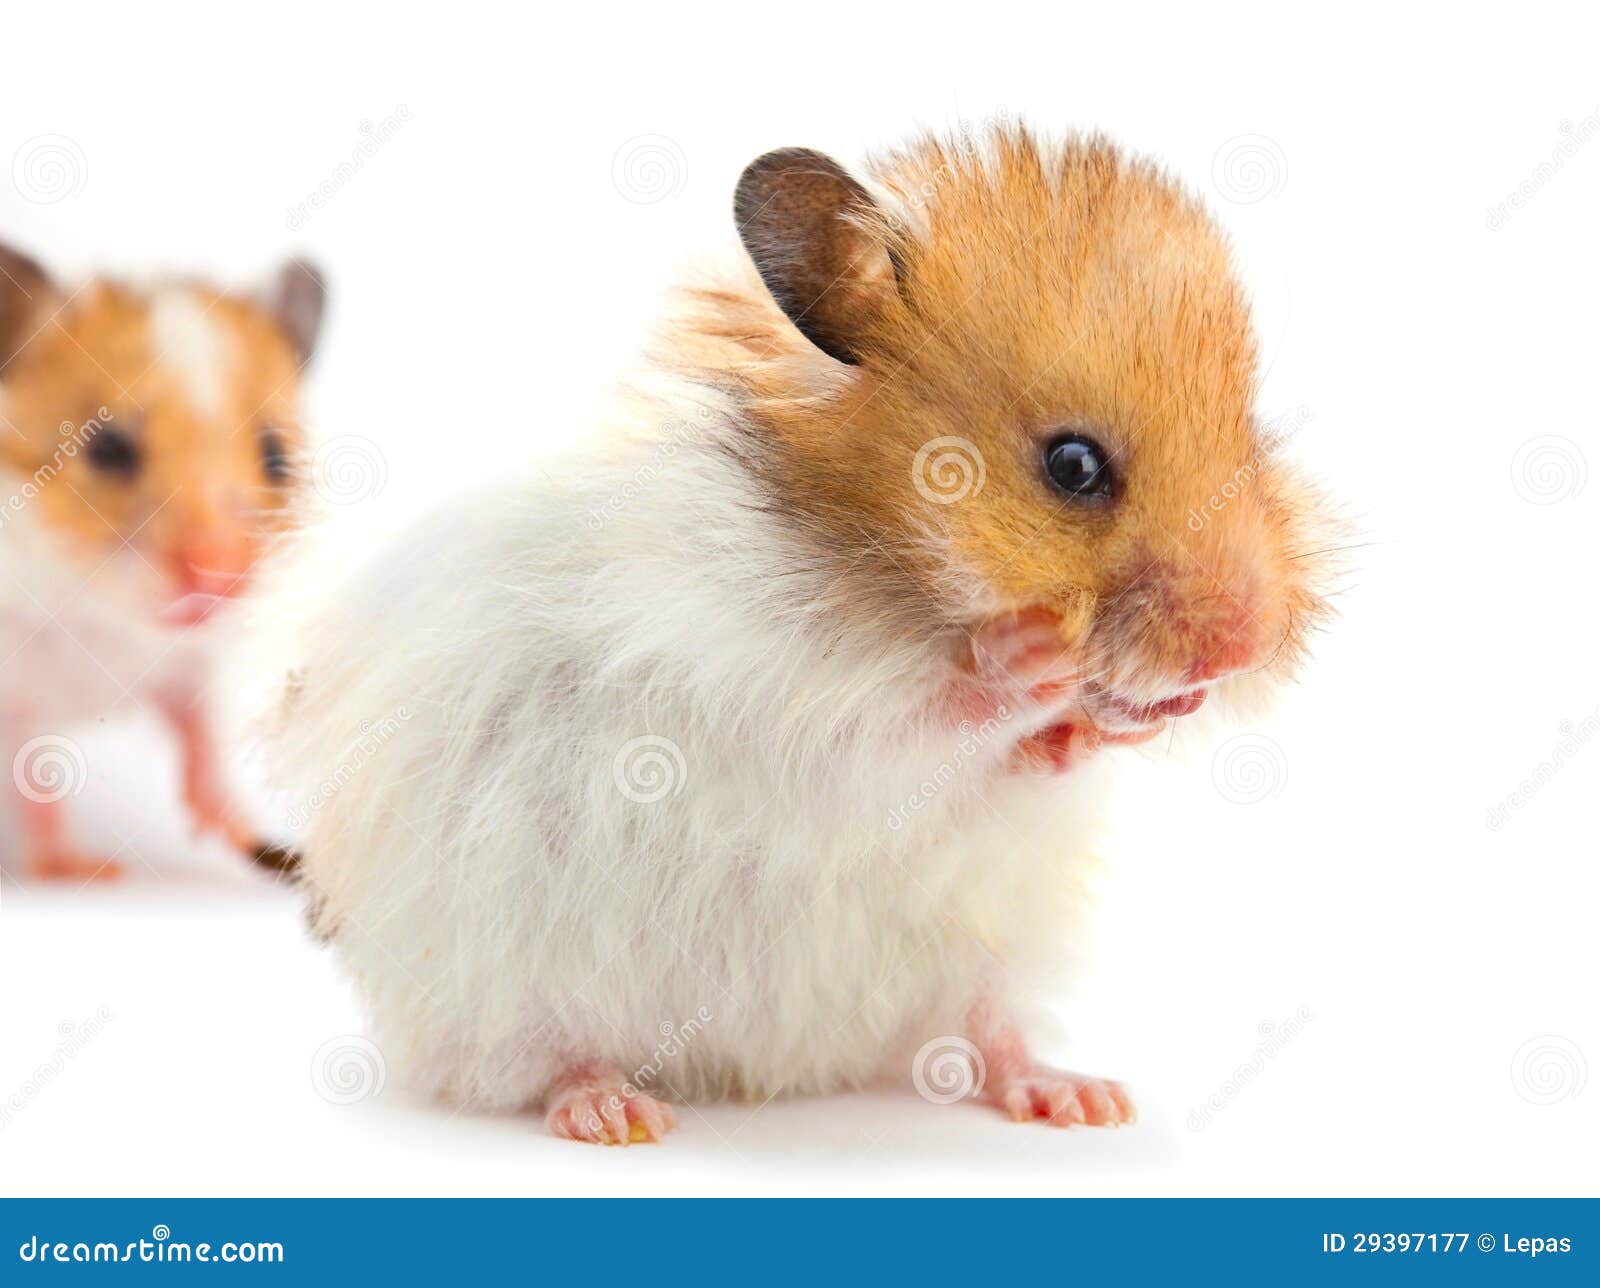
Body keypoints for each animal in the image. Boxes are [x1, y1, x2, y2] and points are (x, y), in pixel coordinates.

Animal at [0, 244, 324, 879]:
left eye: (276, 457)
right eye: (106, 449)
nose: (220, 577)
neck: (101, 619)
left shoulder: (191, 665)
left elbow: (201, 740)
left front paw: (245, 835)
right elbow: (32, 780)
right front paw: (84, 872)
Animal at [273, 126, 1331, 1143]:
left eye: (1252, 436)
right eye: (1073, 465)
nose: (1238, 651)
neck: (888, 585)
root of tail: (773, 1065)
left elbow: (1033, 759)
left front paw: (1121, 720)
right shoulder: (756, 692)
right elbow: (906, 725)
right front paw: (1029, 660)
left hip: (985, 942)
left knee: (984, 1028)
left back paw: (1080, 1100)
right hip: (498, 967)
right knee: (548, 1053)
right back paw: (617, 1116)